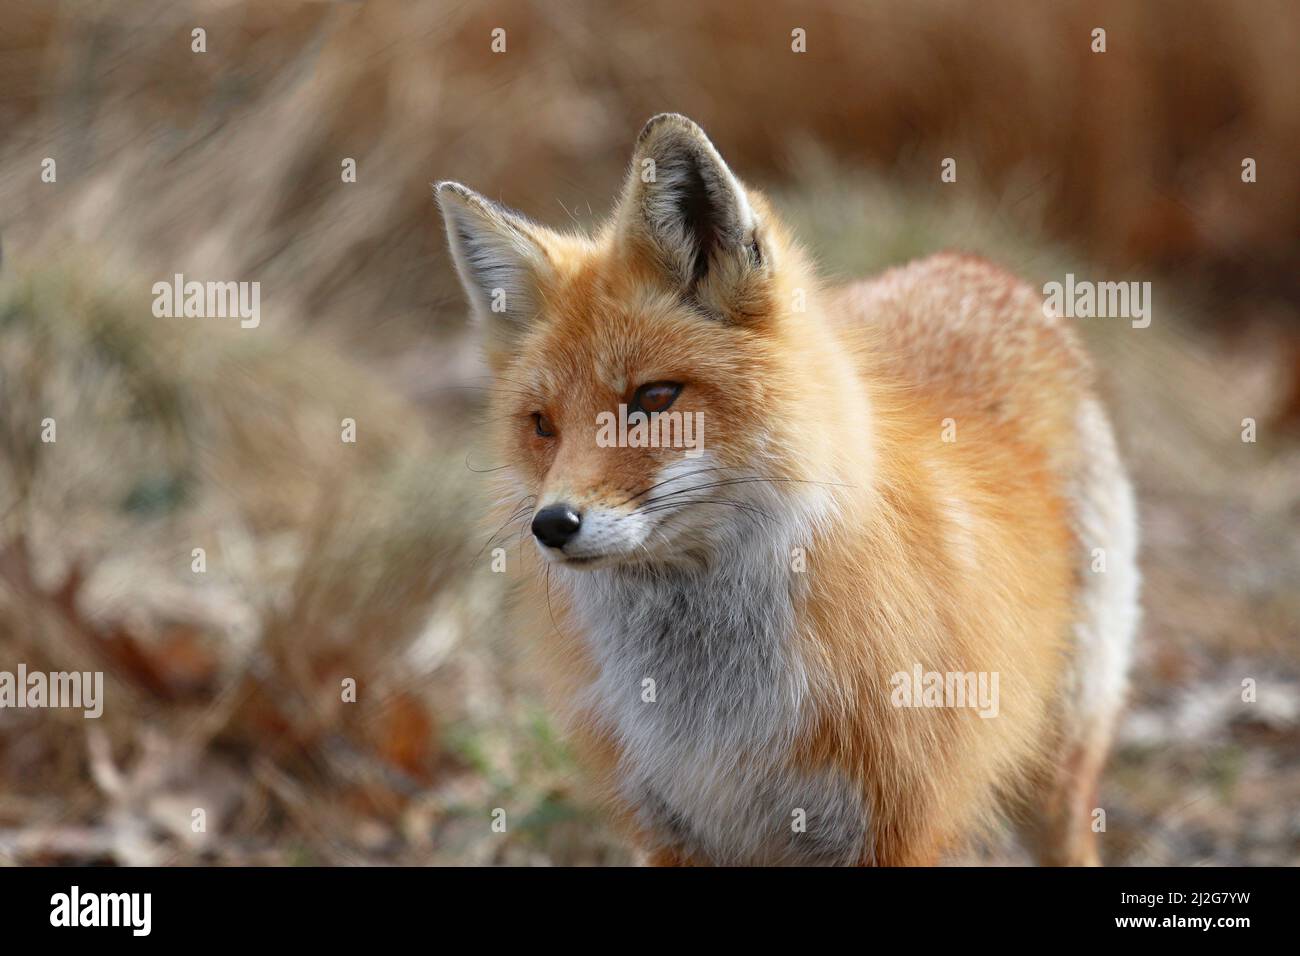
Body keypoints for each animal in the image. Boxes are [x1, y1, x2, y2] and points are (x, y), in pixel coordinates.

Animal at [435, 114, 1140, 866]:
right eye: (542, 425)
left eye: (654, 398)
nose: (552, 524)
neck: (715, 702)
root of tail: (979, 268)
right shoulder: (673, 828)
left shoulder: (893, 826)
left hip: (1058, 766)